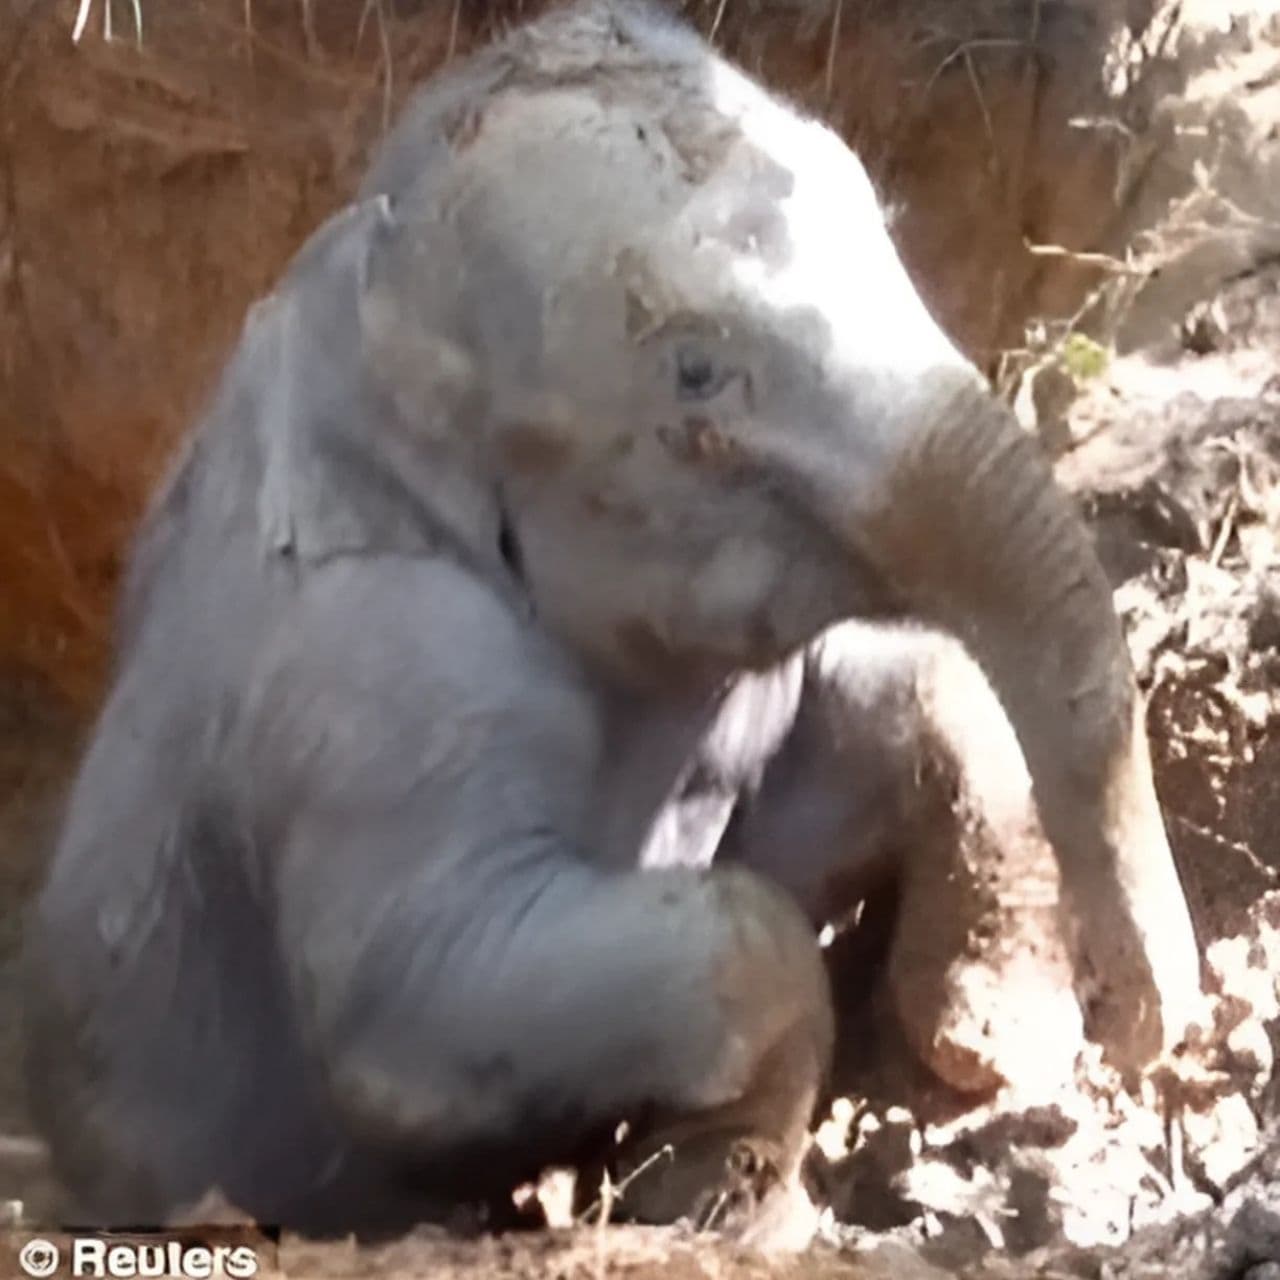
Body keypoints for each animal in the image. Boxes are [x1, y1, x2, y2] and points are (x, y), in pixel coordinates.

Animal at [22, 0, 1201, 1237]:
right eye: (693, 371)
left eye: (885, 229)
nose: (1141, 1020)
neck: (367, 277)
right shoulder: (379, 674)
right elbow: (419, 1000)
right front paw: (711, 1206)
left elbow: (891, 704)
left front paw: (987, 1042)